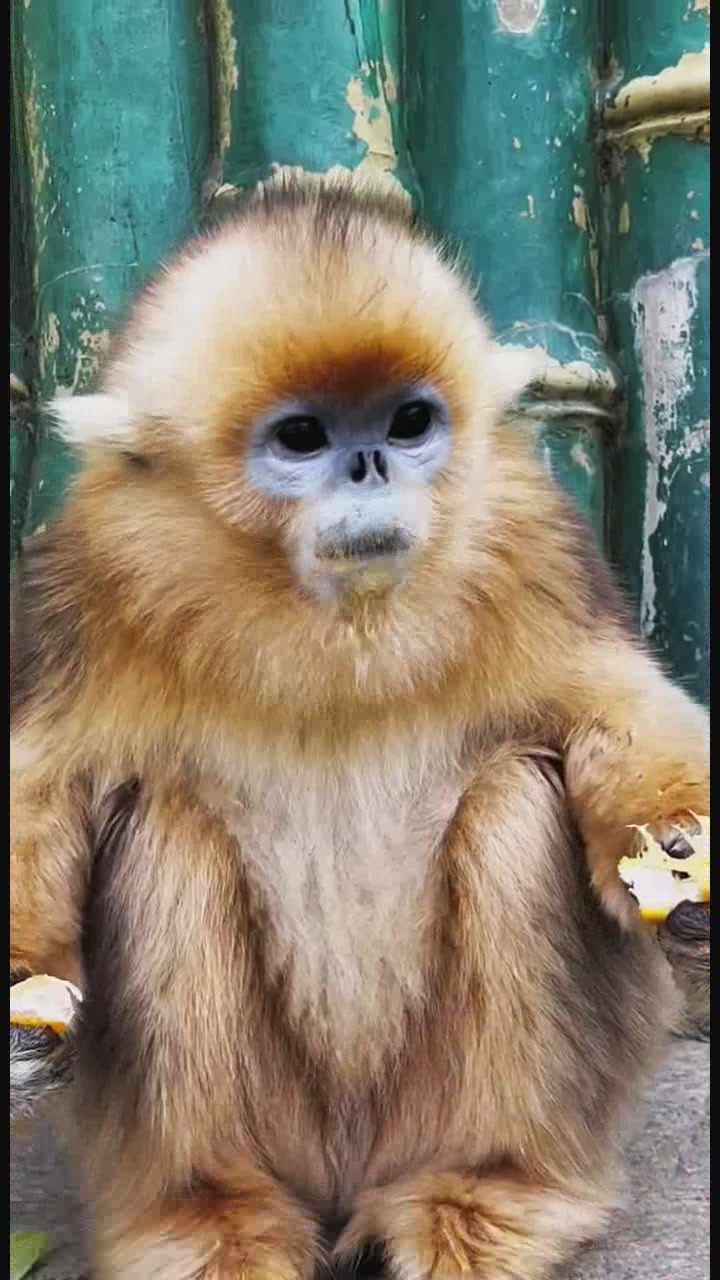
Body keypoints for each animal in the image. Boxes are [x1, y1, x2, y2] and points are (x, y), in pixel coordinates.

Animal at [10, 167, 709, 1280]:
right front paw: (23, 1009)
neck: (330, 620)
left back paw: (487, 1189)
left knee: (512, 801)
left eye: (410, 419)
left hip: (424, 1111)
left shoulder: (534, 537)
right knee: (165, 826)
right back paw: (215, 1213)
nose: (373, 464)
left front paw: (682, 854)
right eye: (304, 438)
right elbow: (38, 788)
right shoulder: (82, 579)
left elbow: (616, 710)